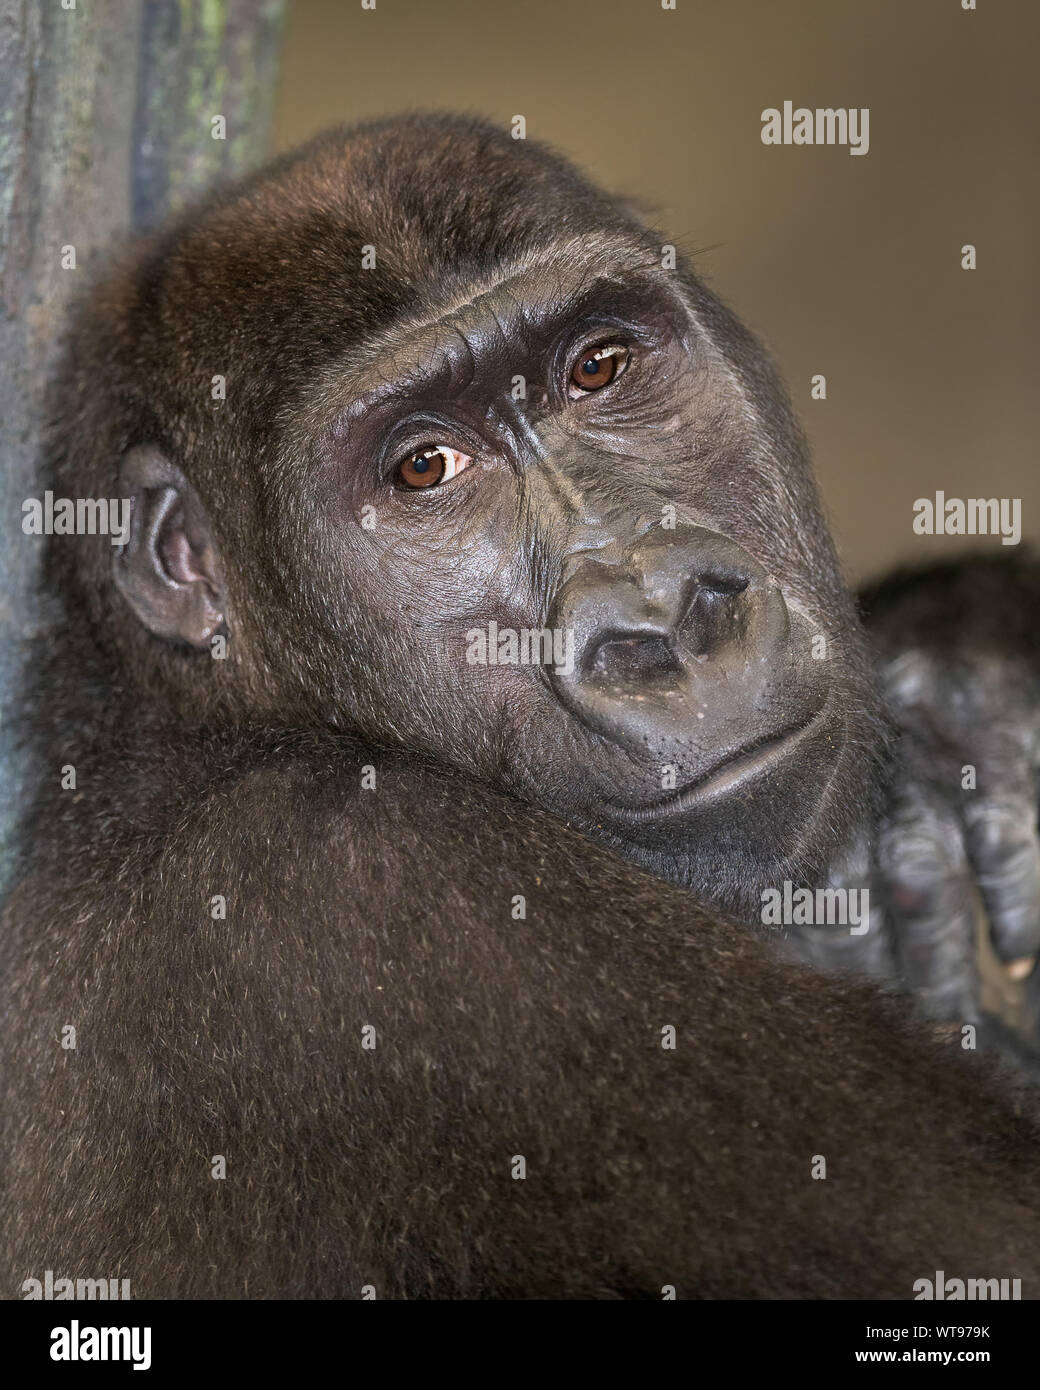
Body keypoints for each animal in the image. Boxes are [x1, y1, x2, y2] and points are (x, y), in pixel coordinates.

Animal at [2, 113, 1038, 1297]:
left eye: (597, 367)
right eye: (424, 468)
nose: (664, 615)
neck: (179, 722)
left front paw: (961, 671)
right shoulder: (362, 886)